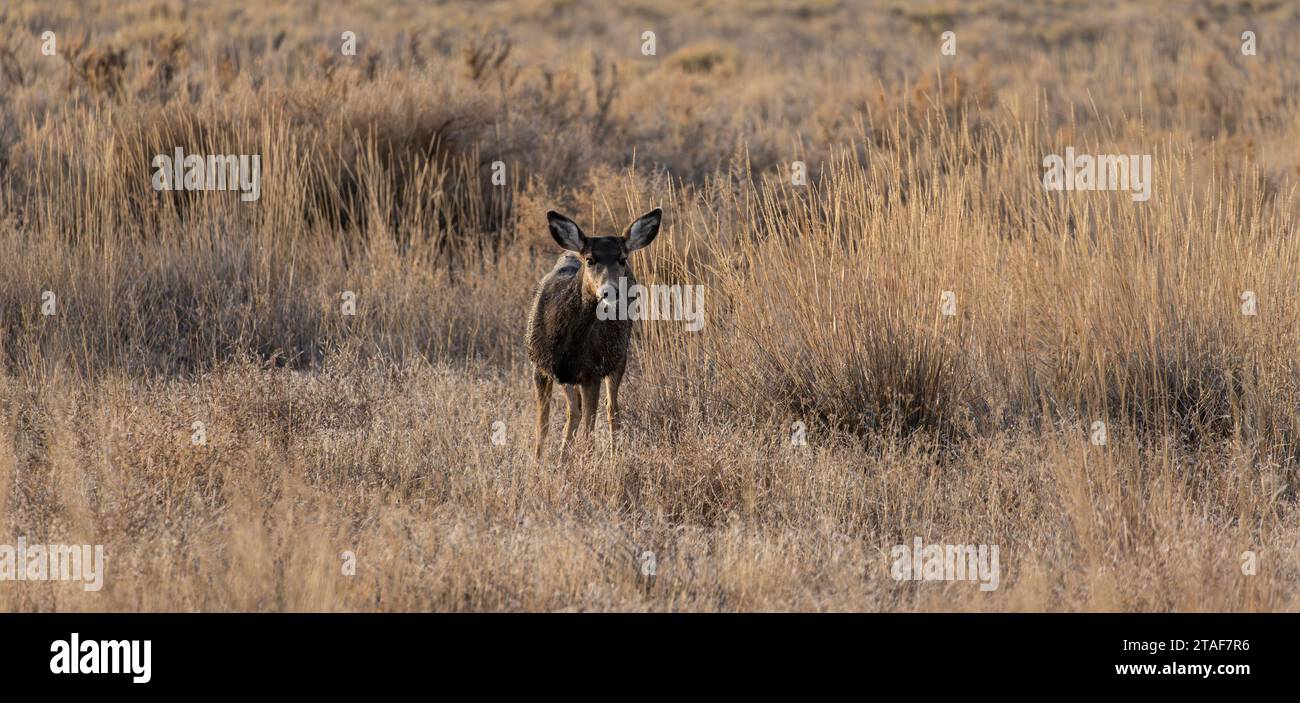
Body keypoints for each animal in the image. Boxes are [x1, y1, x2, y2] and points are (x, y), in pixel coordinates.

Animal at [526, 207, 663, 460]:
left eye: (622, 258)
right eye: (590, 260)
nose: (610, 290)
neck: (566, 343)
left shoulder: (593, 371)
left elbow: (589, 429)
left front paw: (586, 462)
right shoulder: (540, 367)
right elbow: (543, 425)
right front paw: (538, 463)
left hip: (619, 354)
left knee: (611, 410)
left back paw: (612, 457)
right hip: (568, 376)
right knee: (575, 410)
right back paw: (564, 457)